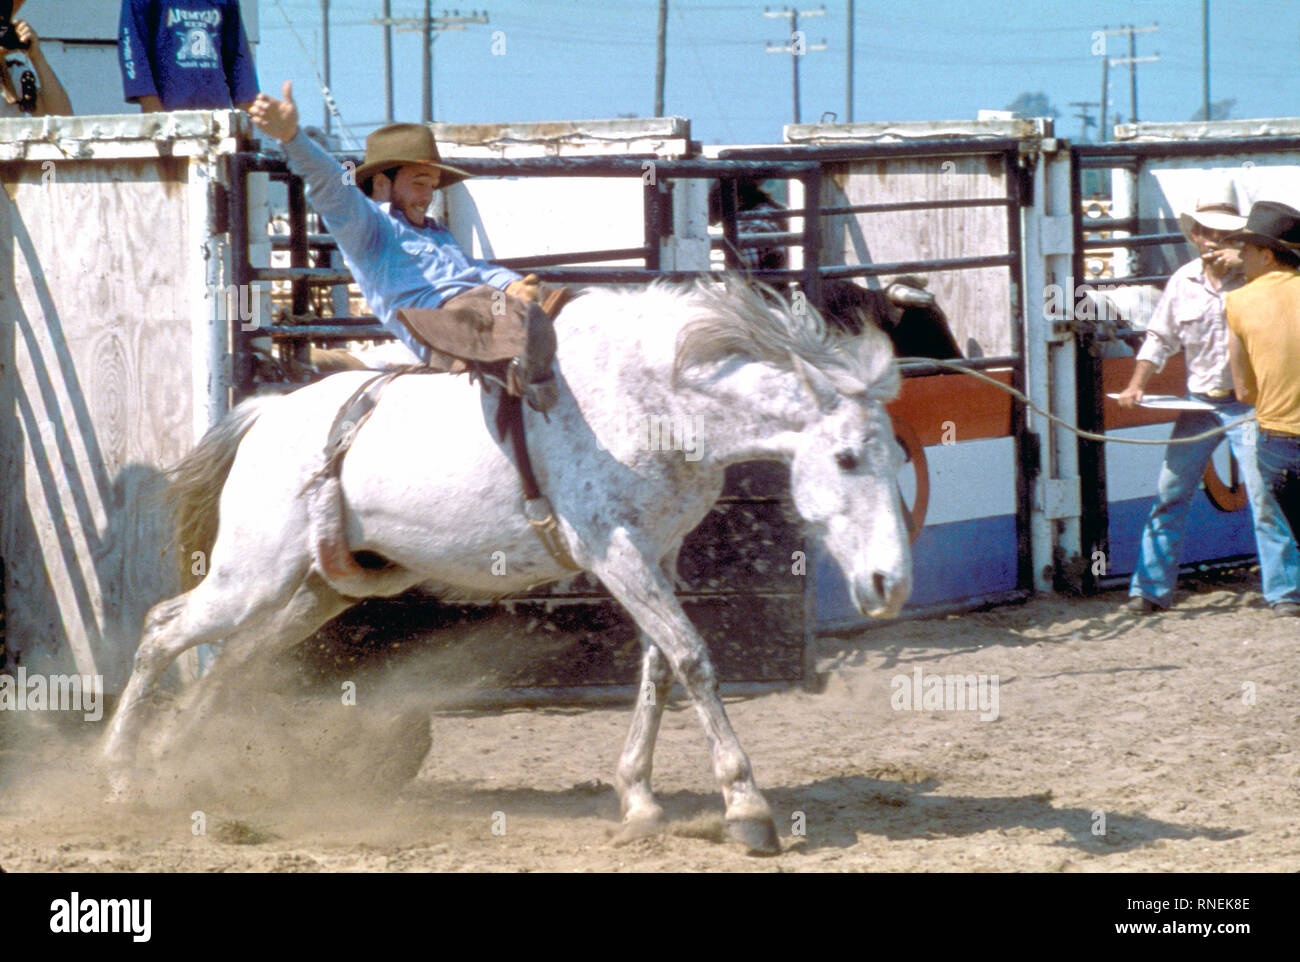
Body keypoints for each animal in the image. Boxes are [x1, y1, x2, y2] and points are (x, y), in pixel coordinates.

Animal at [100, 276, 913, 854]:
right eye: (846, 457)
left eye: (897, 457)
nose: (890, 584)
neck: (654, 400)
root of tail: (269, 413)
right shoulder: (612, 548)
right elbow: (690, 656)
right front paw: (747, 807)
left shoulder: (659, 552)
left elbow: (657, 666)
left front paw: (639, 800)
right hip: (252, 575)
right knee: (164, 629)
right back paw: (118, 774)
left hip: (320, 588)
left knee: (236, 656)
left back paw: (175, 761)